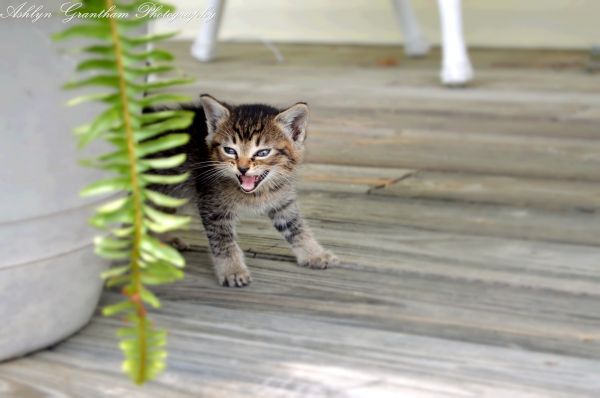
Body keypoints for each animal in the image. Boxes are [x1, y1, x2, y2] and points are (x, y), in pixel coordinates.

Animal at [149, 94, 338, 286]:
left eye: (263, 153)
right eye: (229, 150)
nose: (243, 168)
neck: (255, 193)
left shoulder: (282, 200)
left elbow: (296, 226)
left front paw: (315, 254)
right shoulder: (213, 207)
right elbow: (223, 241)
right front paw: (233, 270)